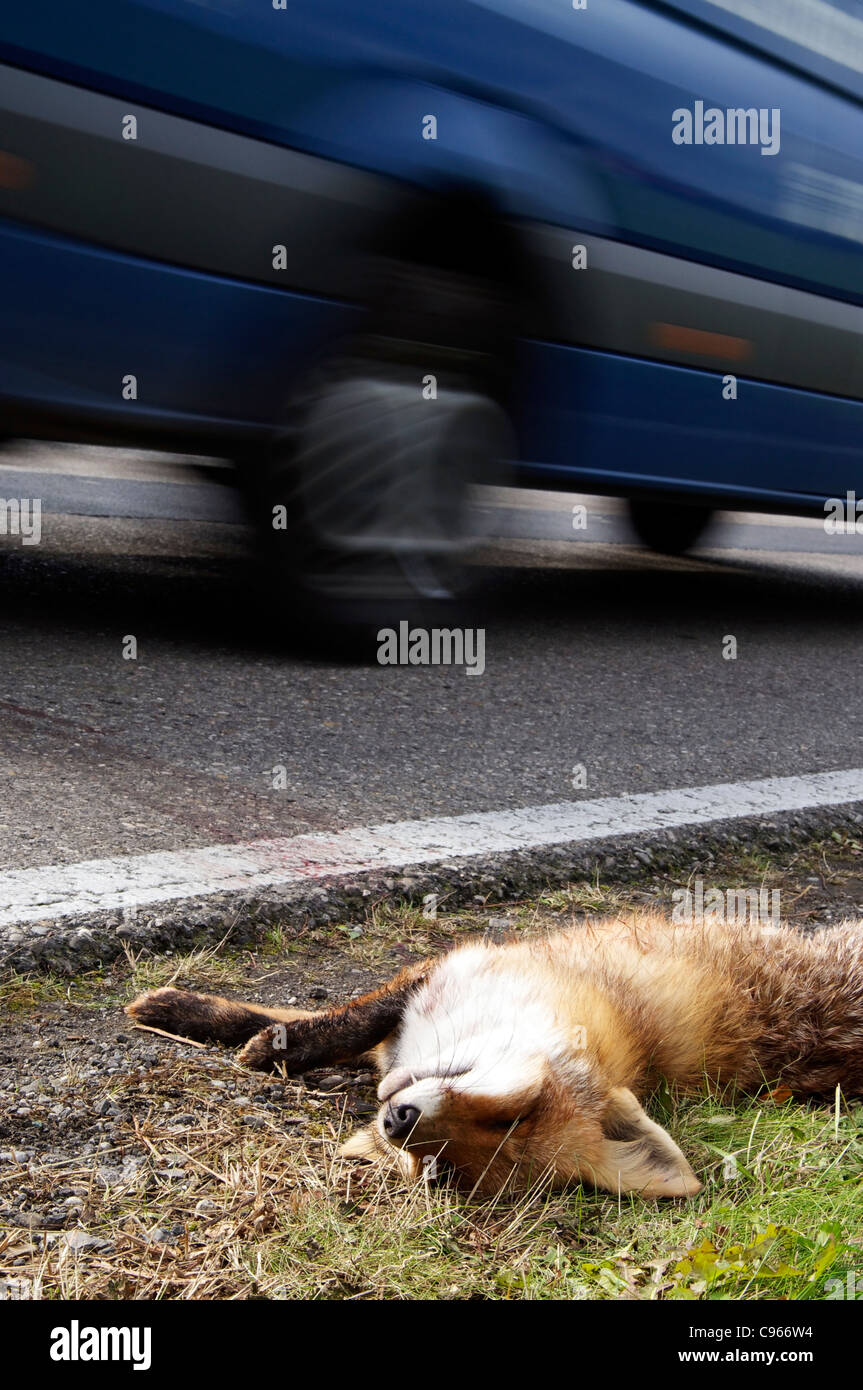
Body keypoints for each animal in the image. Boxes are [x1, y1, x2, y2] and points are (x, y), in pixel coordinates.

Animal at [126, 912, 863, 1199]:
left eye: (445, 1170)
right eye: (515, 1112)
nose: (398, 1123)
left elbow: (322, 1025)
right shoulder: (436, 980)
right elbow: (329, 1021)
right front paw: (191, 1015)